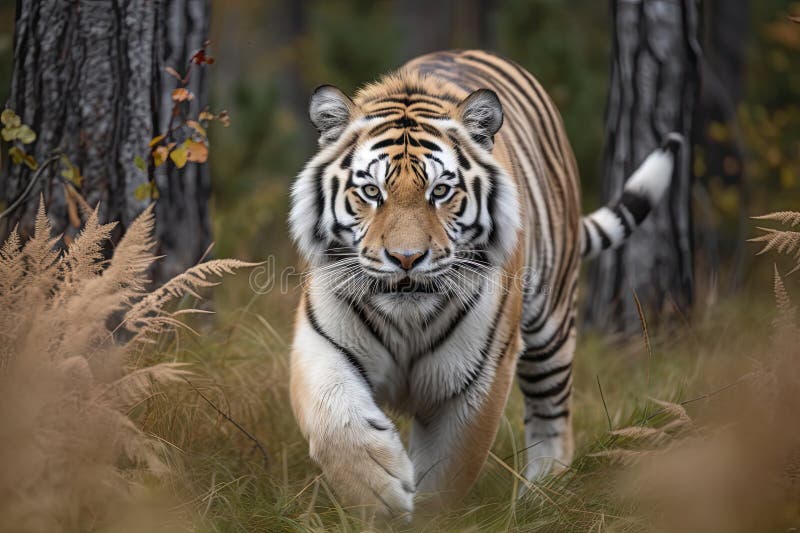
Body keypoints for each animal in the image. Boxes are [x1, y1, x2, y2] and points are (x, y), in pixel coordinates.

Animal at [288, 49, 681, 517]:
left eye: (440, 191)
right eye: (371, 191)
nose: (406, 259)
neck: (407, 319)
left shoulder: (478, 374)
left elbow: (447, 470)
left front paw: (425, 515)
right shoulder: (324, 342)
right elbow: (336, 423)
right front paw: (379, 494)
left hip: (550, 326)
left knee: (552, 417)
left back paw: (542, 496)